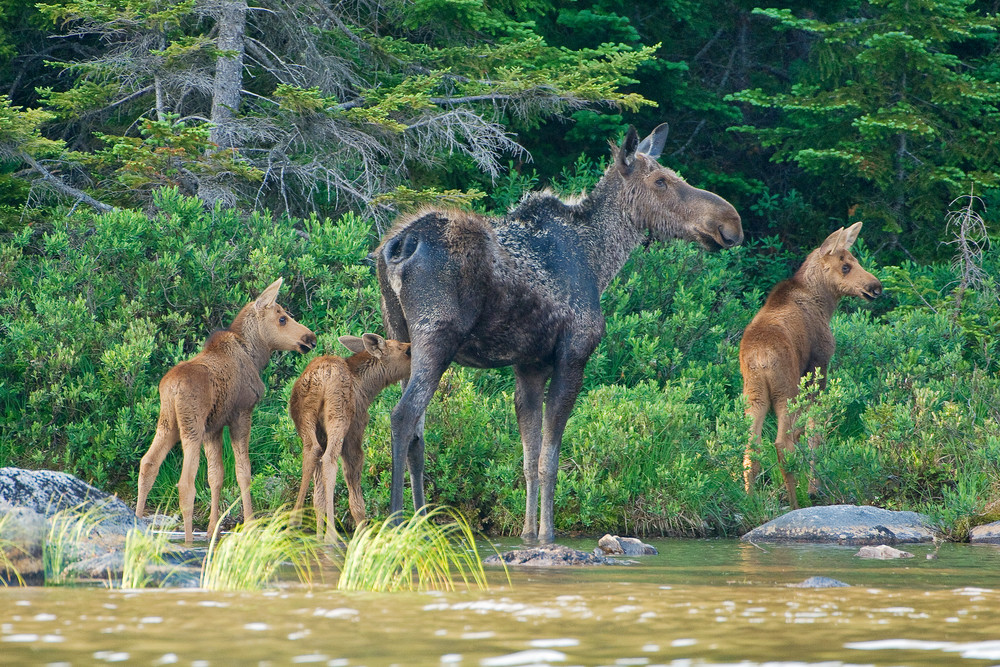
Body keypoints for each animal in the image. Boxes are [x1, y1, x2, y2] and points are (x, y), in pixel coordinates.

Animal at [135, 278, 317, 543]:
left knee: (148, 464)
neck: (256, 355)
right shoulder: (241, 414)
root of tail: (172, 388)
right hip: (191, 426)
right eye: (282, 318)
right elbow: (244, 472)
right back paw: (188, 541)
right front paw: (249, 524)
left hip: (168, 424)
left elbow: (216, 476)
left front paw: (213, 529)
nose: (310, 338)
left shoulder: (214, 427)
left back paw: (136, 522)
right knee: (186, 483)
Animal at [289, 333, 412, 542]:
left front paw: (318, 537)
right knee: (329, 461)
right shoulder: (354, 434)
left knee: (311, 454)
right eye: (406, 350)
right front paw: (361, 534)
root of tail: (321, 376)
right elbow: (356, 498)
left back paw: (294, 522)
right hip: (339, 417)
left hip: (305, 420)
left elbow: (319, 496)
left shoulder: (321, 435)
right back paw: (331, 535)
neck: (368, 387)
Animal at [374, 123, 743, 544]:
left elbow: (528, 458)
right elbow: (550, 459)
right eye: (661, 181)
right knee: (402, 417)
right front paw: (549, 534)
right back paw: (396, 520)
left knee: (419, 432)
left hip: (400, 336)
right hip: (436, 338)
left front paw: (527, 533)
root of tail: (397, 246)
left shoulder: (529, 365)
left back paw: (421, 522)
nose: (730, 223)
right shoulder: (573, 355)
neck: (601, 260)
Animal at [740, 222, 883, 509]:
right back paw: (796, 502)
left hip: (754, 394)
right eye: (845, 266)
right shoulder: (819, 365)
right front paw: (816, 487)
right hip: (786, 391)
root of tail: (761, 358)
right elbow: (816, 428)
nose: (876, 286)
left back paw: (749, 501)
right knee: (782, 443)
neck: (825, 304)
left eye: (855, 260)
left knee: (752, 445)